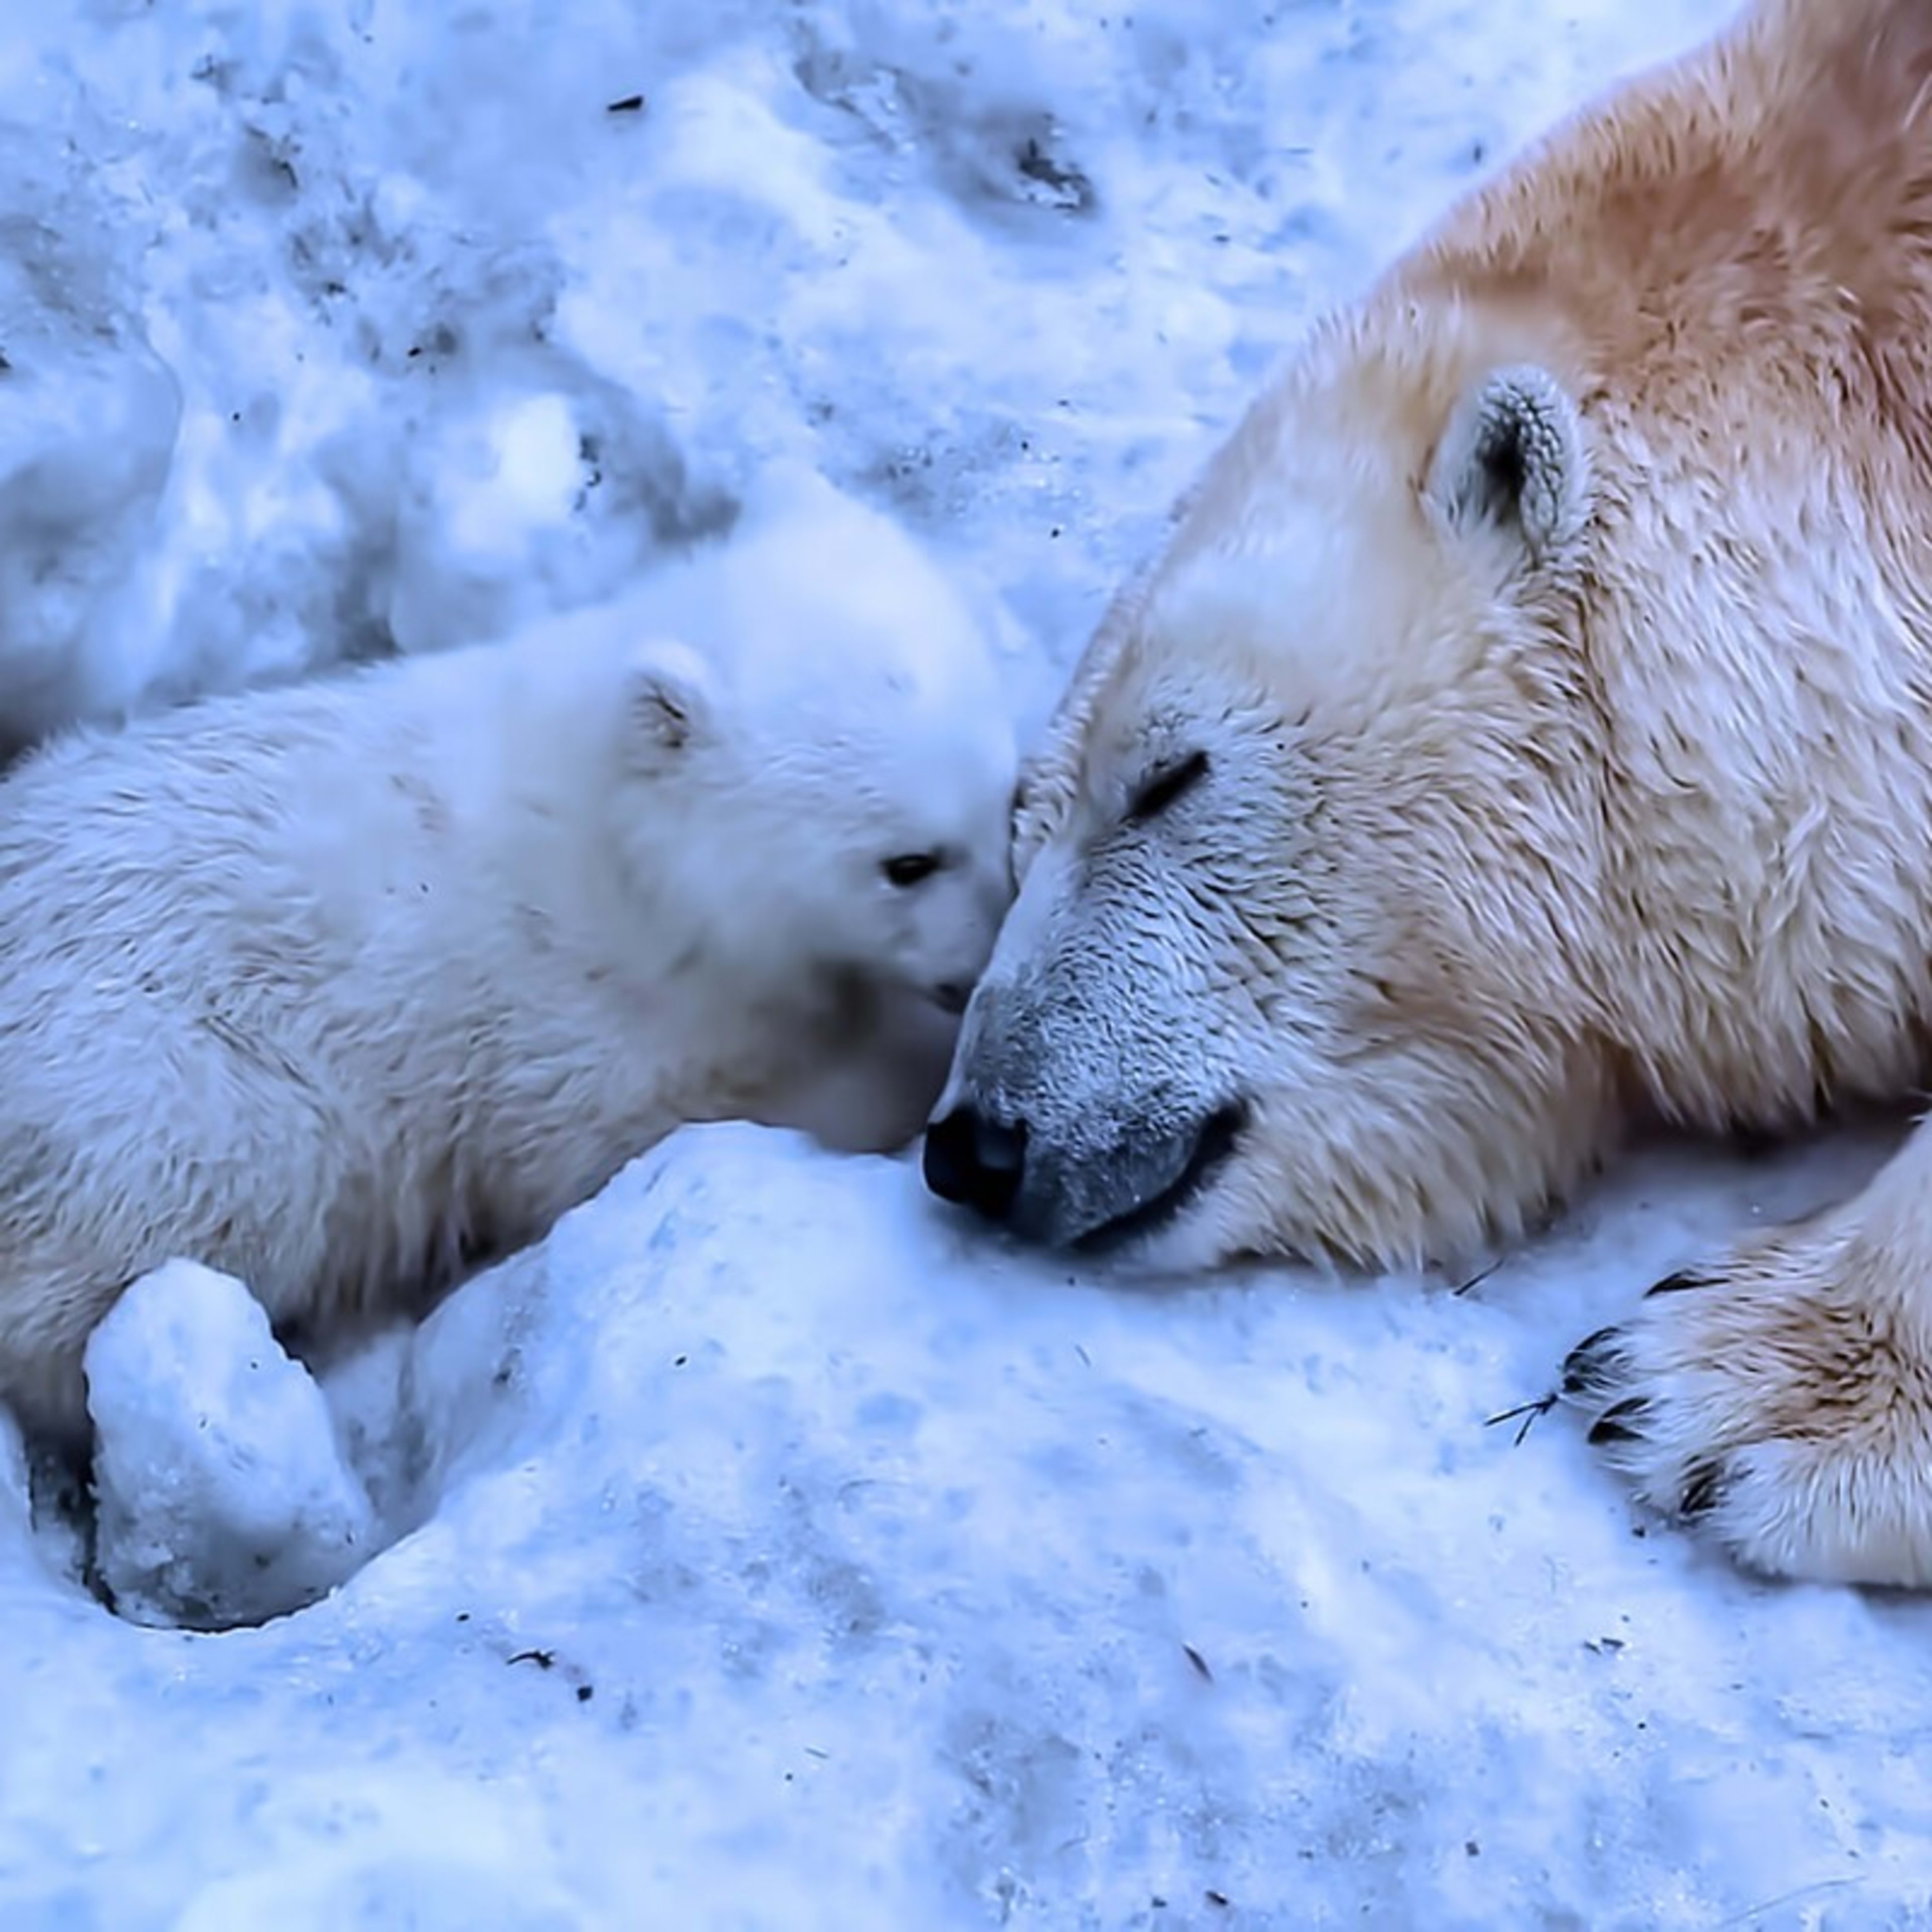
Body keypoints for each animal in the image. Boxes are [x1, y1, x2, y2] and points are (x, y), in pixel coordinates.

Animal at [0, 486, 1017, 1445]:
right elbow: (672, 1124)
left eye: (1004, 799)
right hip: (158, 1094)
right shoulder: (570, 1023)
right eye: (907, 862)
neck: (627, 850)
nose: (989, 951)